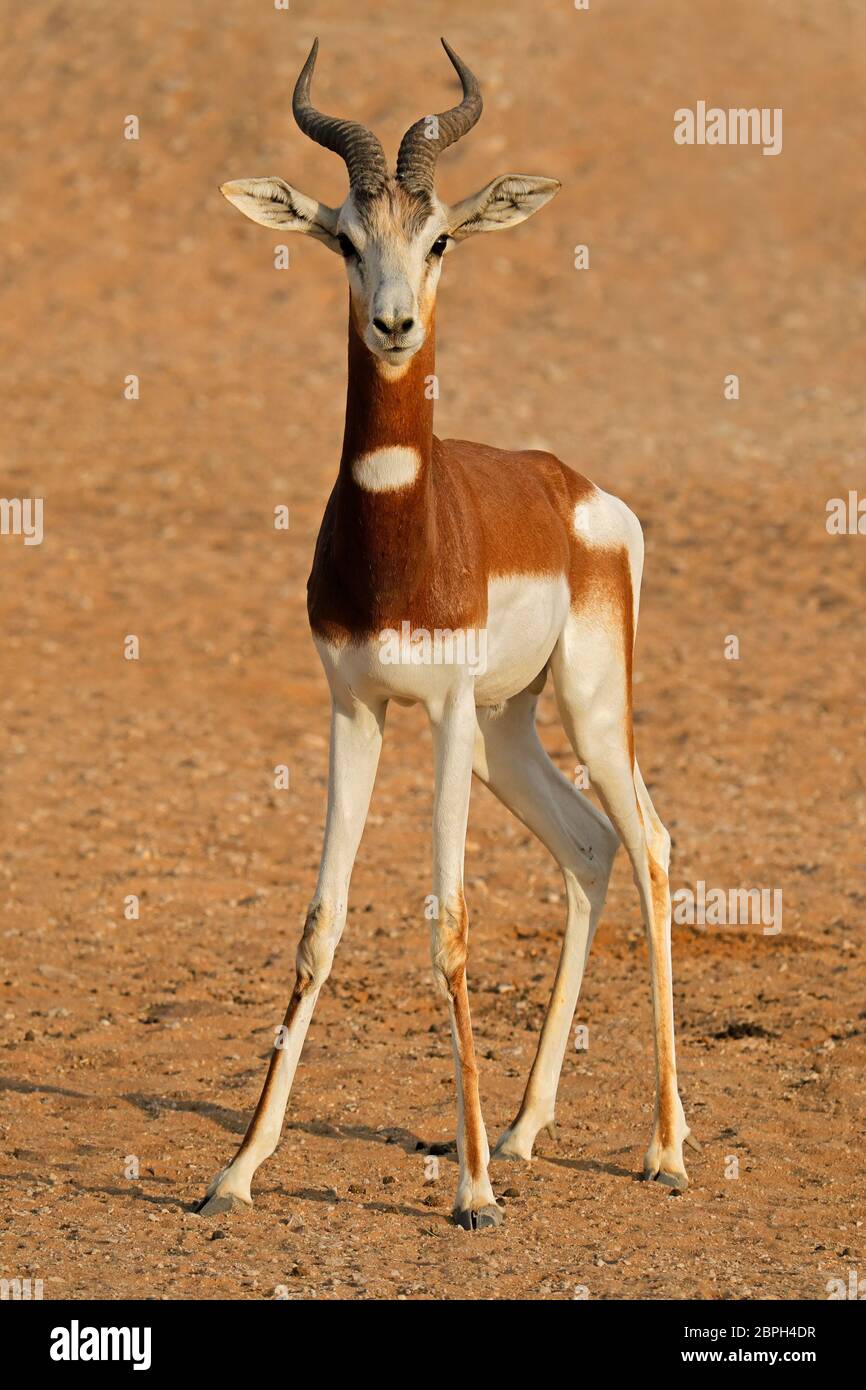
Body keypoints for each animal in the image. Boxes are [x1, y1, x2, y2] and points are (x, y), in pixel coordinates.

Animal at [199, 37, 697, 1229]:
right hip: (510, 734)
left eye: (440, 239)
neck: (403, 531)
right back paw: (521, 1129)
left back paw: (661, 1148)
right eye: (344, 236)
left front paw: (469, 1192)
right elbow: (321, 922)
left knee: (651, 842)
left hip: (579, 710)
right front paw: (237, 1170)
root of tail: (576, 487)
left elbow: (450, 921)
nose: (394, 325)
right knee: (587, 845)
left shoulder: (445, 710)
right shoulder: (356, 707)